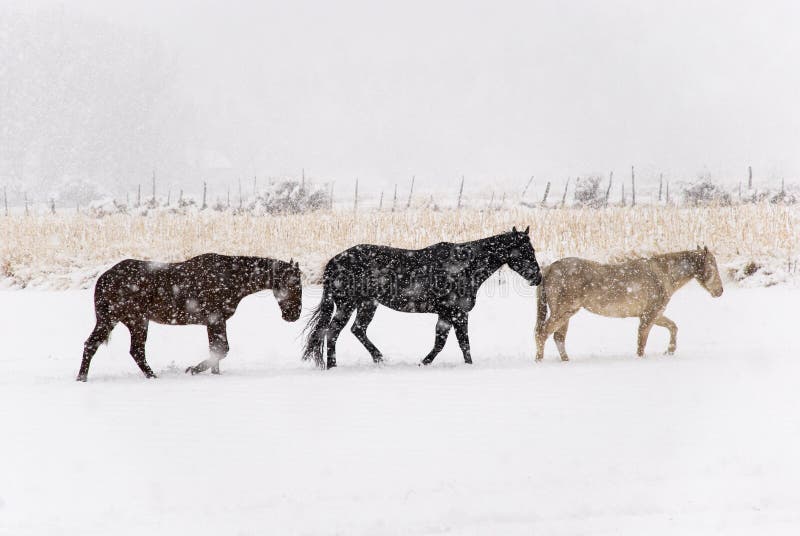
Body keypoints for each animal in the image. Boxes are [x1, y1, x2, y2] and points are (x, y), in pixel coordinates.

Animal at [77, 253, 302, 381]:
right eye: (293, 285)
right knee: (125, 349)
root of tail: (105, 276)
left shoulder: (213, 322)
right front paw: (194, 369)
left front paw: (214, 374)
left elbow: (216, 349)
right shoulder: (215, 319)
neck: (230, 277)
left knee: (111, 348)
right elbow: (222, 349)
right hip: (130, 321)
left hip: (121, 321)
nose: (294, 315)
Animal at [303, 226, 542, 369]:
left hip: (367, 304)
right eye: (526, 251)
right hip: (347, 305)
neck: (464, 266)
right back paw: (333, 365)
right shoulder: (458, 313)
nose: (537, 277)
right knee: (332, 332)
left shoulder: (446, 315)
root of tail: (334, 261)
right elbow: (462, 343)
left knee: (357, 330)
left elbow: (442, 342)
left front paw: (425, 363)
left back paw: (379, 358)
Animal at [535, 246, 724, 361]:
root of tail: (550, 268)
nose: (720, 291)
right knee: (542, 333)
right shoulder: (649, 316)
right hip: (564, 312)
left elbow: (673, 327)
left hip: (566, 314)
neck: (663, 274)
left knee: (557, 338)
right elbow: (642, 342)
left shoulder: (655, 315)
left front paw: (669, 351)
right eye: (712, 266)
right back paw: (540, 361)